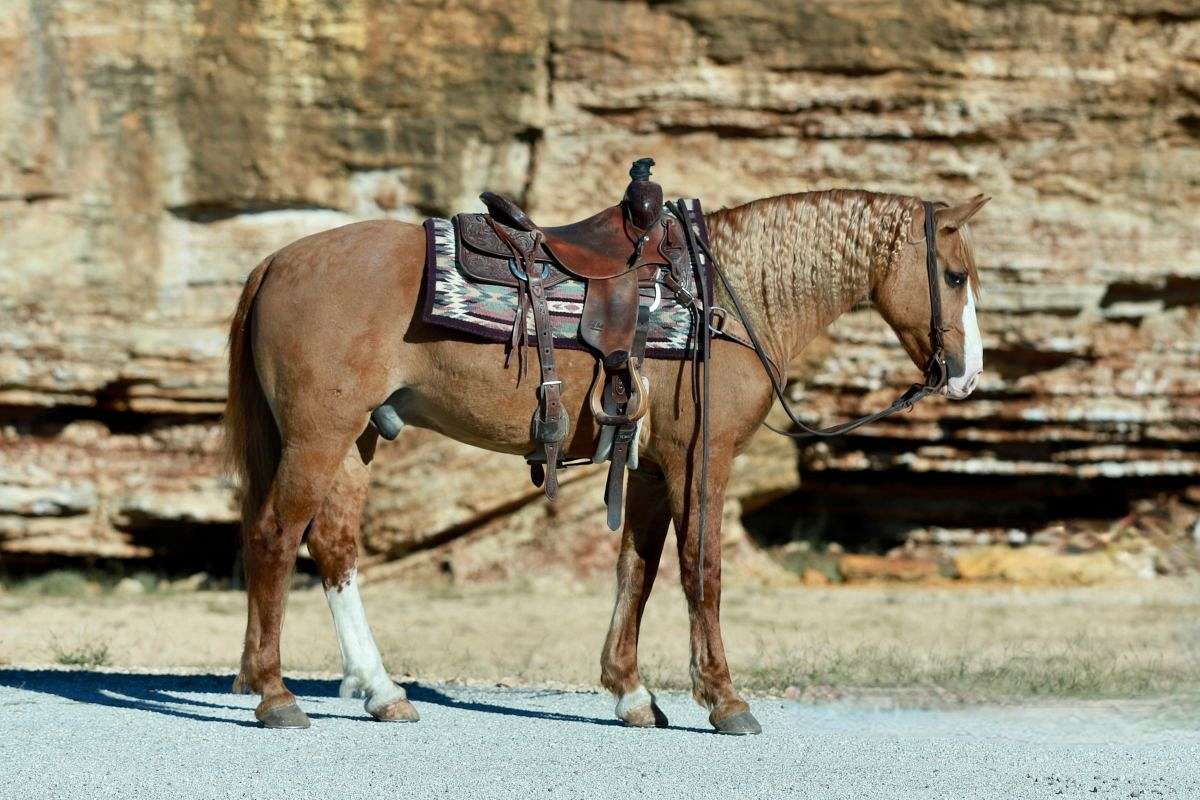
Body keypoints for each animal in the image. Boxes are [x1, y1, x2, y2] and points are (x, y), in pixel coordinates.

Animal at [223, 187, 988, 732]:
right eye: (954, 276)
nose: (966, 374)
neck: (723, 302)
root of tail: (273, 263)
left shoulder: (648, 469)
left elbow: (636, 573)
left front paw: (632, 693)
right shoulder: (700, 461)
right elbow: (702, 571)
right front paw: (725, 700)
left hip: (356, 439)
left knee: (334, 548)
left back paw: (381, 692)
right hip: (318, 435)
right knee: (274, 537)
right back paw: (275, 695)